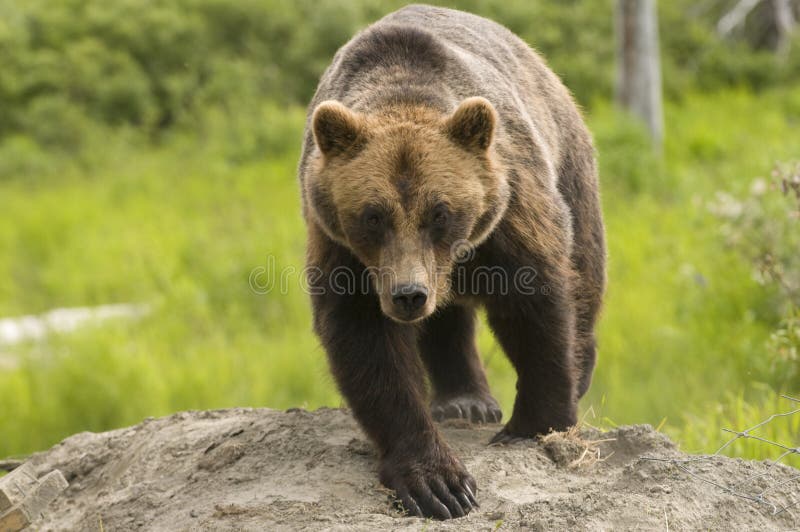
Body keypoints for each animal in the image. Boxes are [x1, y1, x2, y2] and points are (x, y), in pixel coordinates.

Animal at [298, 4, 606, 520]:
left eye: (440, 213)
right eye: (372, 216)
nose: (409, 295)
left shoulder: (509, 208)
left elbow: (535, 303)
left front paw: (535, 423)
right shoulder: (345, 250)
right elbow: (367, 342)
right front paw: (437, 483)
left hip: (570, 162)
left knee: (584, 266)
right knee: (448, 323)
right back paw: (465, 400)